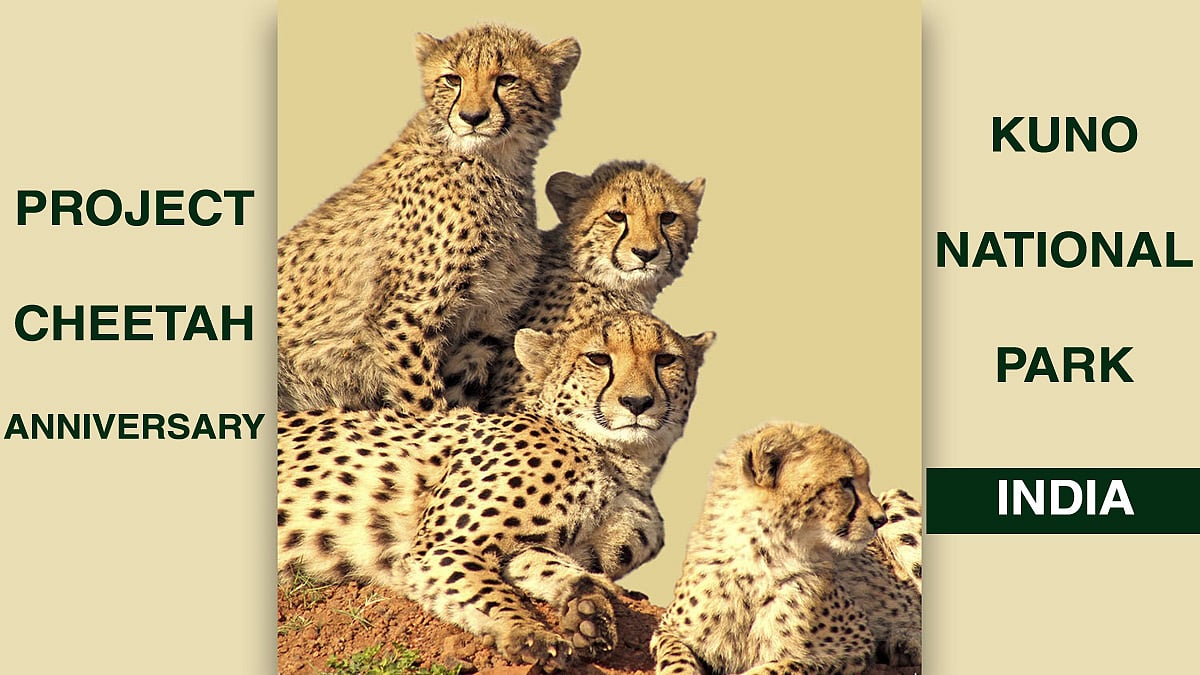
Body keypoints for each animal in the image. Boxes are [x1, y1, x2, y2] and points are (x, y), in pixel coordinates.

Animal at [276, 311, 715, 670]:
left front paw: (587, 608)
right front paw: (531, 633)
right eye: (598, 358)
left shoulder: (534, 547)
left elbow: (549, 564)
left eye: (666, 360)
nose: (637, 402)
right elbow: (488, 590)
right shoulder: (444, 546)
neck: (623, 463)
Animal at [277, 24, 581, 413]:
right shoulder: (407, 316)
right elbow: (424, 406)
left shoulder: (484, 321)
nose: (472, 117)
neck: (493, 164)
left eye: (506, 79)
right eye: (452, 79)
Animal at [651, 422, 921, 675]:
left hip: (896, 499)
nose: (879, 520)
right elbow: (676, 656)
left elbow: (779, 667)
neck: (761, 556)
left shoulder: (853, 647)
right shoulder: (667, 628)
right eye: (845, 482)